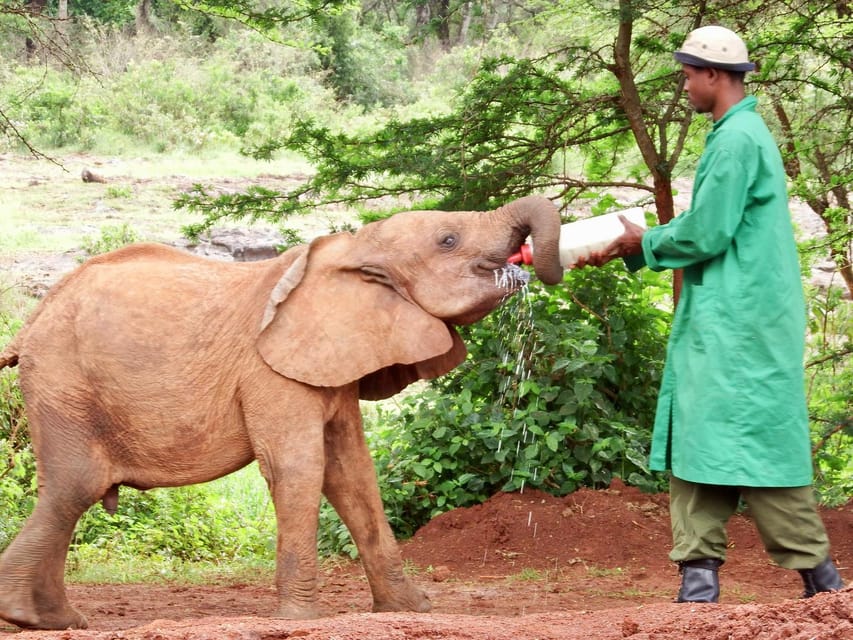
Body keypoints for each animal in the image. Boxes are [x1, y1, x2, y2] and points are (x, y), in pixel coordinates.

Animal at [0, 195, 563, 630]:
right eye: (448, 240)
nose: (528, 262)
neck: (355, 246)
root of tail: (30, 324)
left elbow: (353, 474)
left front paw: (411, 610)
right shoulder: (269, 372)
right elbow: (299, 468)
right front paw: (300, 619)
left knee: (67, 492)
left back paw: (50, 620)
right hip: (63, 382)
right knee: (76, 486)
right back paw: (33, 618)